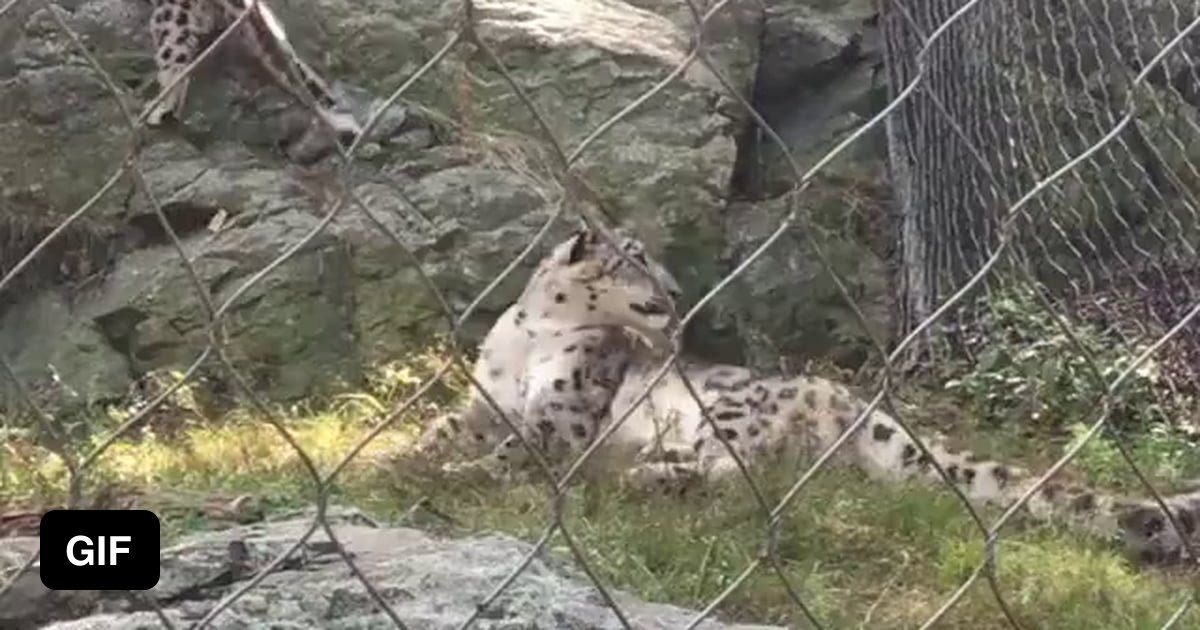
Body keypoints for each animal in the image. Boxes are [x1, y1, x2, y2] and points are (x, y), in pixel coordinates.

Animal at [412, 226, 1200, 566]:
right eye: (636, 261)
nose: (676, 290)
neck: (534, 334)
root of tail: (851, 403)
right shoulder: (486, 403)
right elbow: (451, 426)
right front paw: (414, 451)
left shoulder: (562, 415)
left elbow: (521, 450)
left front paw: (453, 475)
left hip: (731, 413)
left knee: (744, 476)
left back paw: (642, 474)